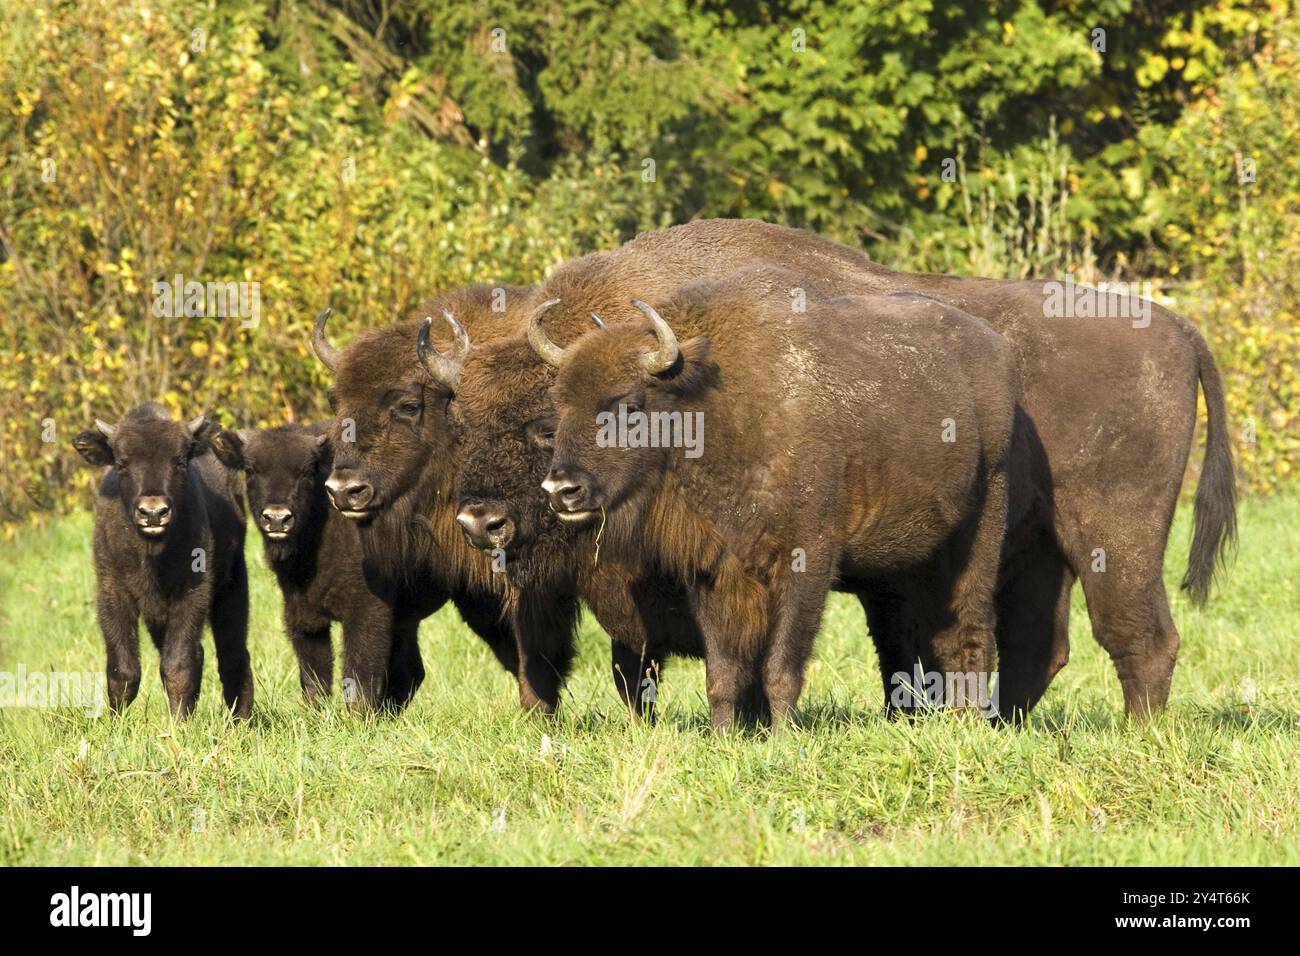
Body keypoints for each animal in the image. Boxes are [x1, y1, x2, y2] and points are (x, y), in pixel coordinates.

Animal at [72, 403, 252, 719]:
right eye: (122, 463)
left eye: (179, 461)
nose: (153, 512)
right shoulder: (112, 592)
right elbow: (123, 670)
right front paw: (116, 723)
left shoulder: (193, 593)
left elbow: (178, 666)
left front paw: (179, 723)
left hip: (233, 586)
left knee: (233, 656)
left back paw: (240, 719)